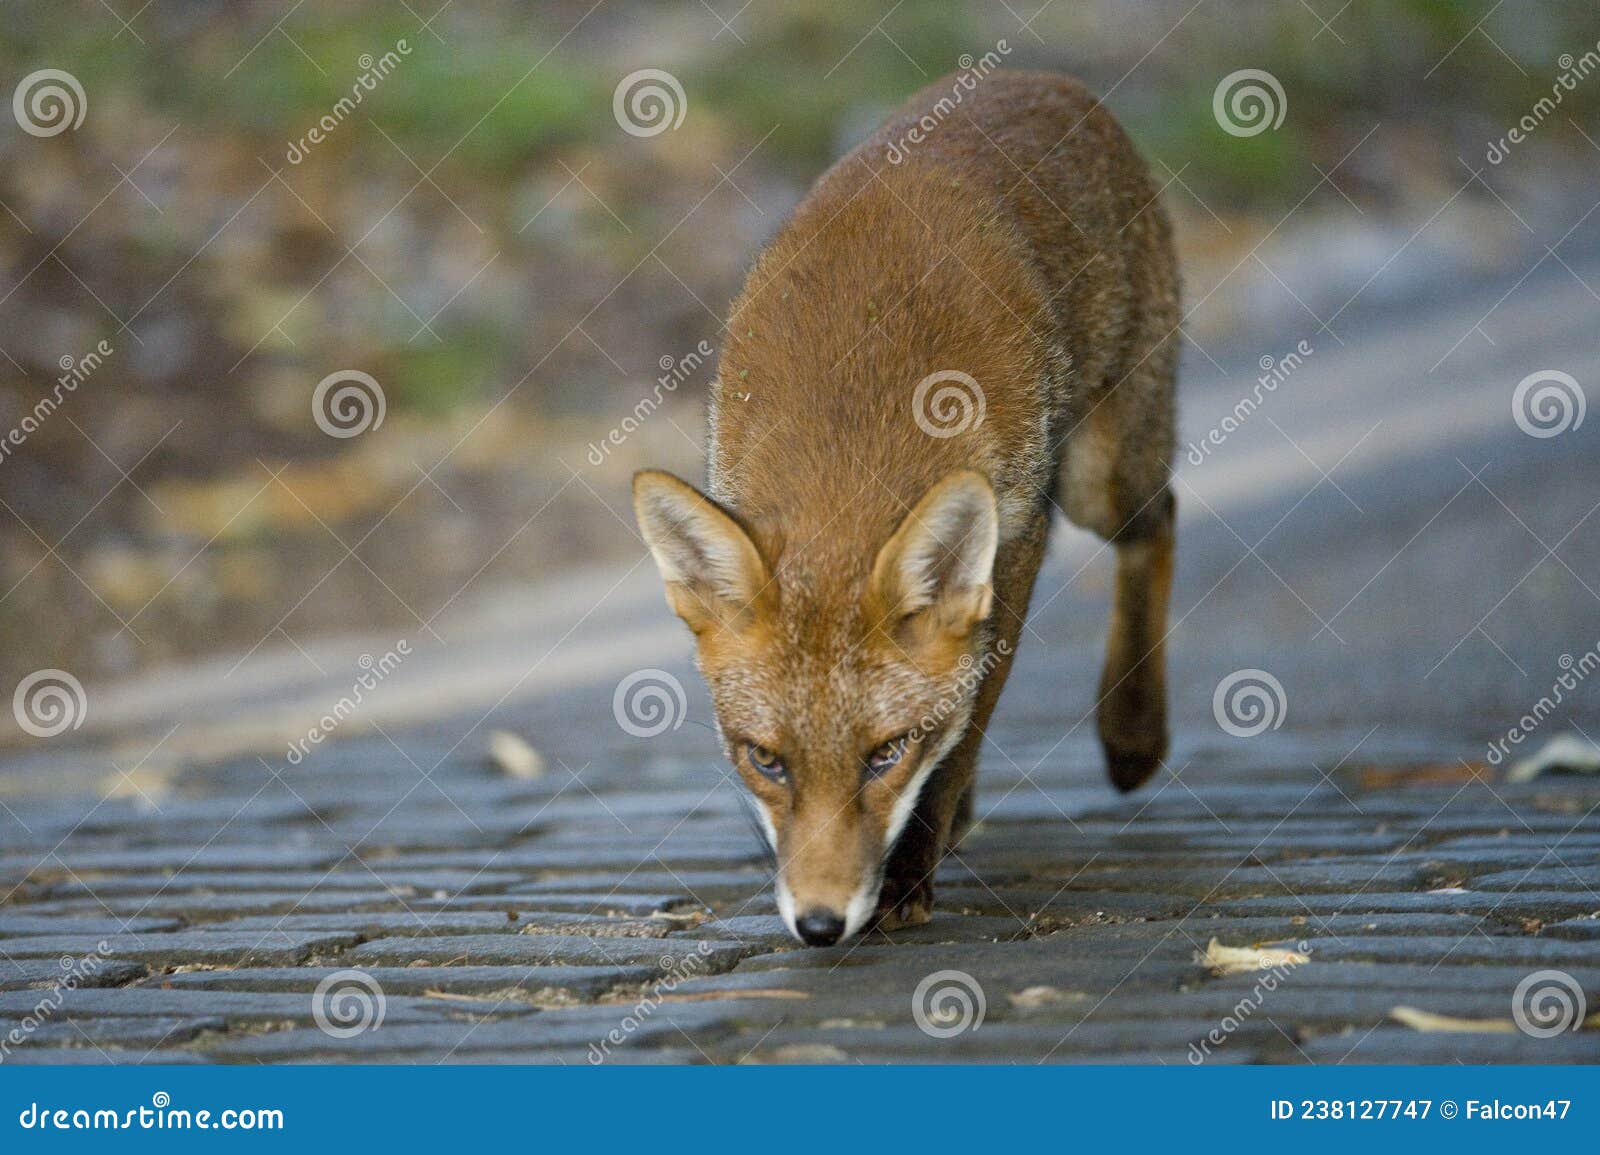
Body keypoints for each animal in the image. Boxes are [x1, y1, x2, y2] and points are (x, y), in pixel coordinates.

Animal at [633, 72, 1177, 946]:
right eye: (765, 759)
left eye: (885, 753)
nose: (820, 923)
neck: (851, 429)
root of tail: (1039, 78)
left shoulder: (1011, 557)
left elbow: (958, 740)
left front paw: (910, 871)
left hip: (1103, 480)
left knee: (1159, 522)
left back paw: (1132, 732)